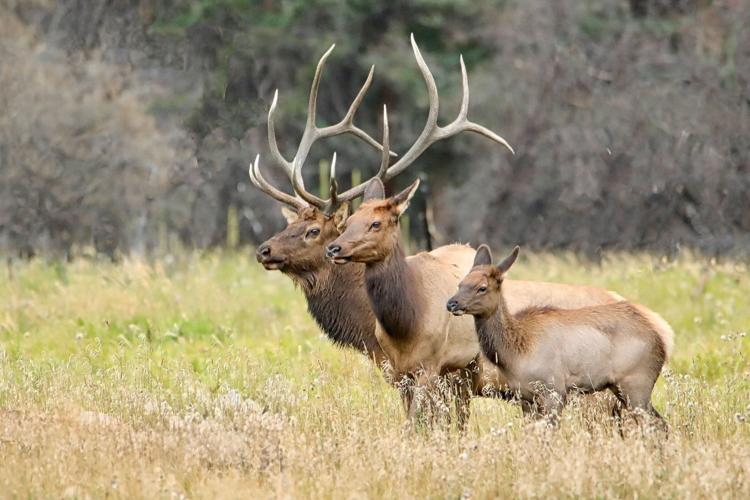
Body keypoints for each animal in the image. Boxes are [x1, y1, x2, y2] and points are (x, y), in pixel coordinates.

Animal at [446, 244, 674, 429]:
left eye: (482, 288)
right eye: (460, 283)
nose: (451, 303)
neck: (516, 352)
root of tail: (663, 342)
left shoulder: (554, 389)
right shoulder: (525, 395)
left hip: (637, 382)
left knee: (655, 424)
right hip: (621, 388)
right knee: (659, 423)